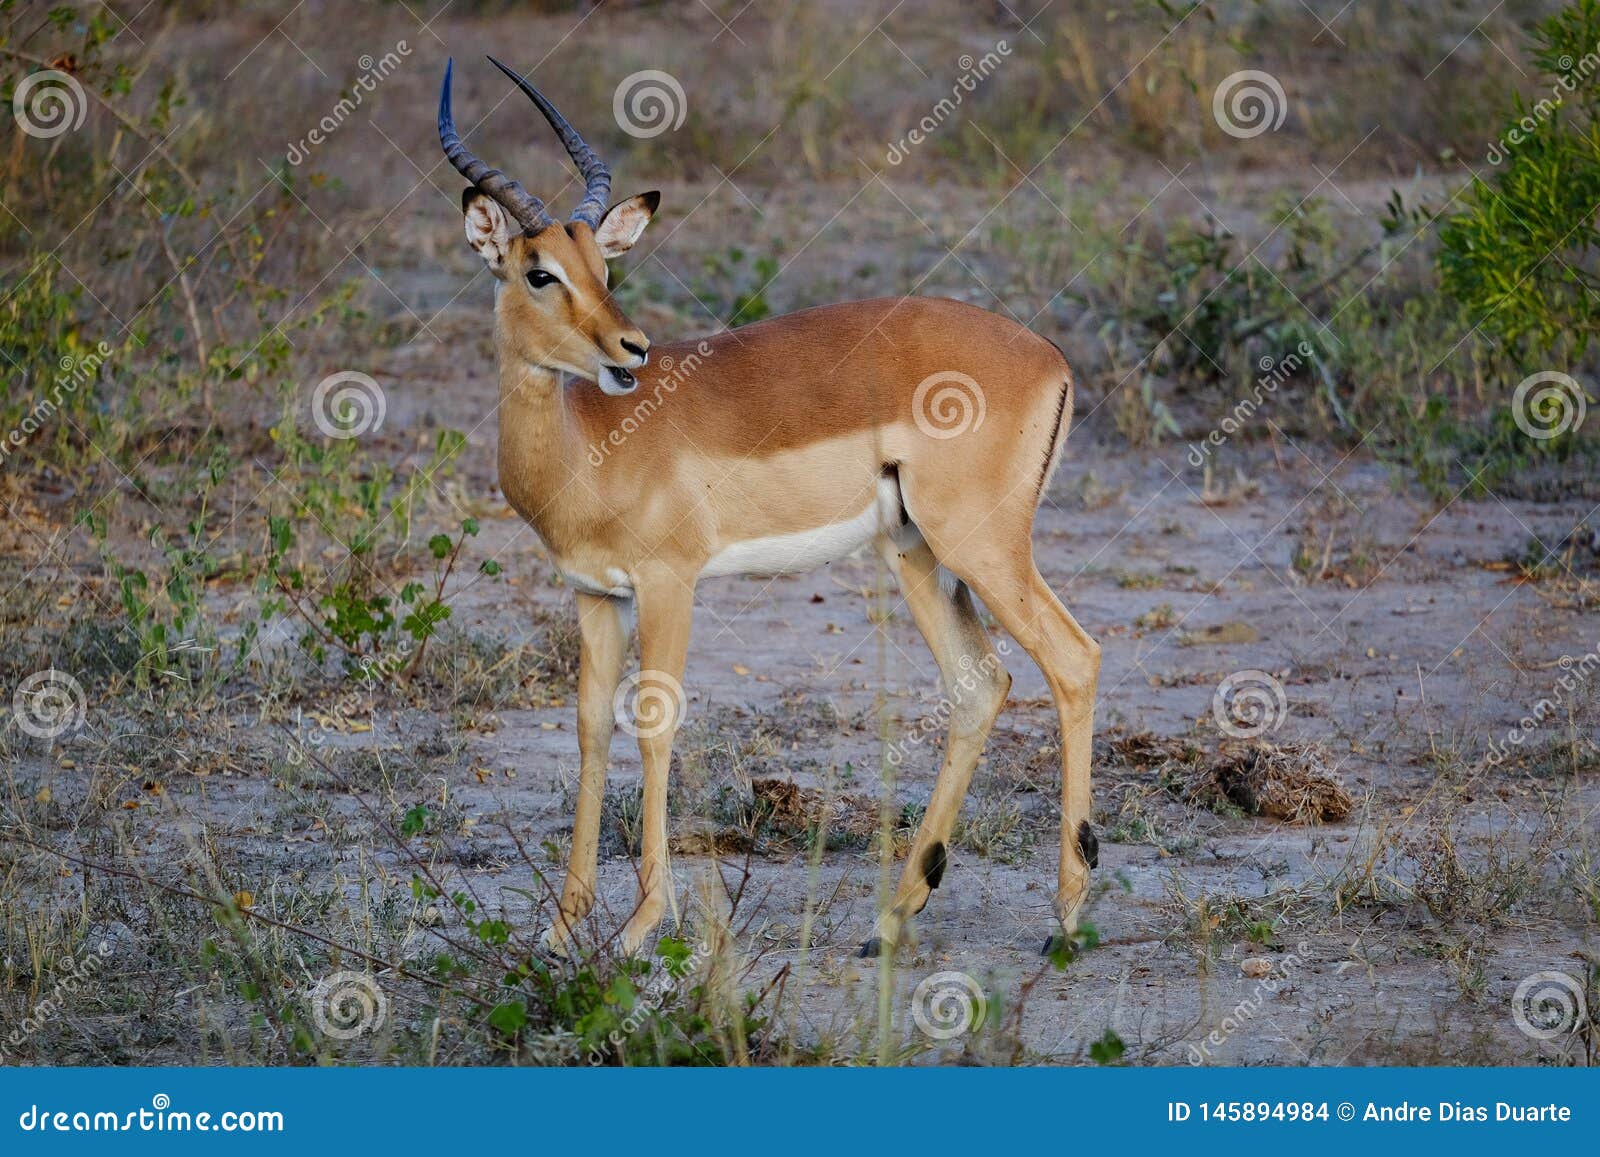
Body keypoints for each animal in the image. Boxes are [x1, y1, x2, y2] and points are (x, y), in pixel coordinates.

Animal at [439, 57, 1100, 959]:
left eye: (604, 270)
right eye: (541, 271)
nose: (631, 349)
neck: (592, 443)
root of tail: (1052, 357)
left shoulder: (670, 583)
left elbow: (655, 722)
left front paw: (641, 925)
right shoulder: (595, 594)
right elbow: (588, 726)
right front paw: (563, 924)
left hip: (982, 545)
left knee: (1073, 659)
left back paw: (1066, 913)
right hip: (915, 552)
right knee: (978, 682)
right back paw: (891, 918)